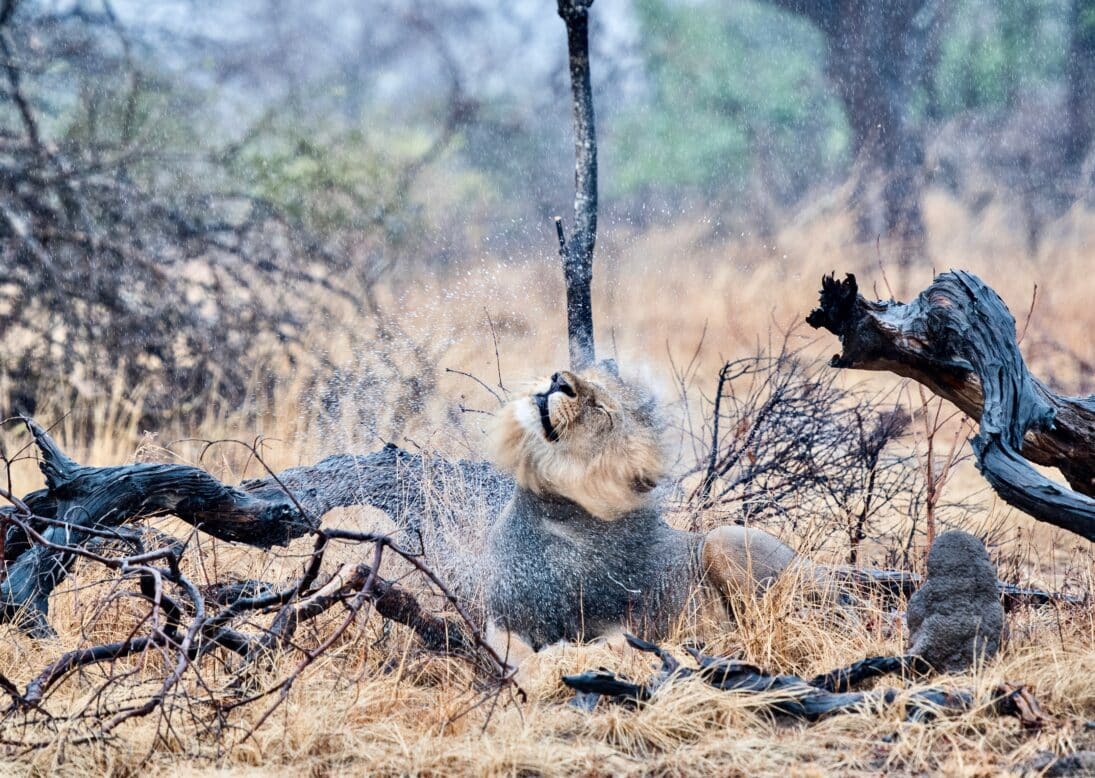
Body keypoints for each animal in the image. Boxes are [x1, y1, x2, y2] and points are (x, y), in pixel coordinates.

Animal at [484, 361, 829, 667]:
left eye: (601, 409)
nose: (559, 380)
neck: (547, 514)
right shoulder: (501, 617)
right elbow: (513, 653)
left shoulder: (624, 622)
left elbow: (584, 651)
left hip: (721, 540)